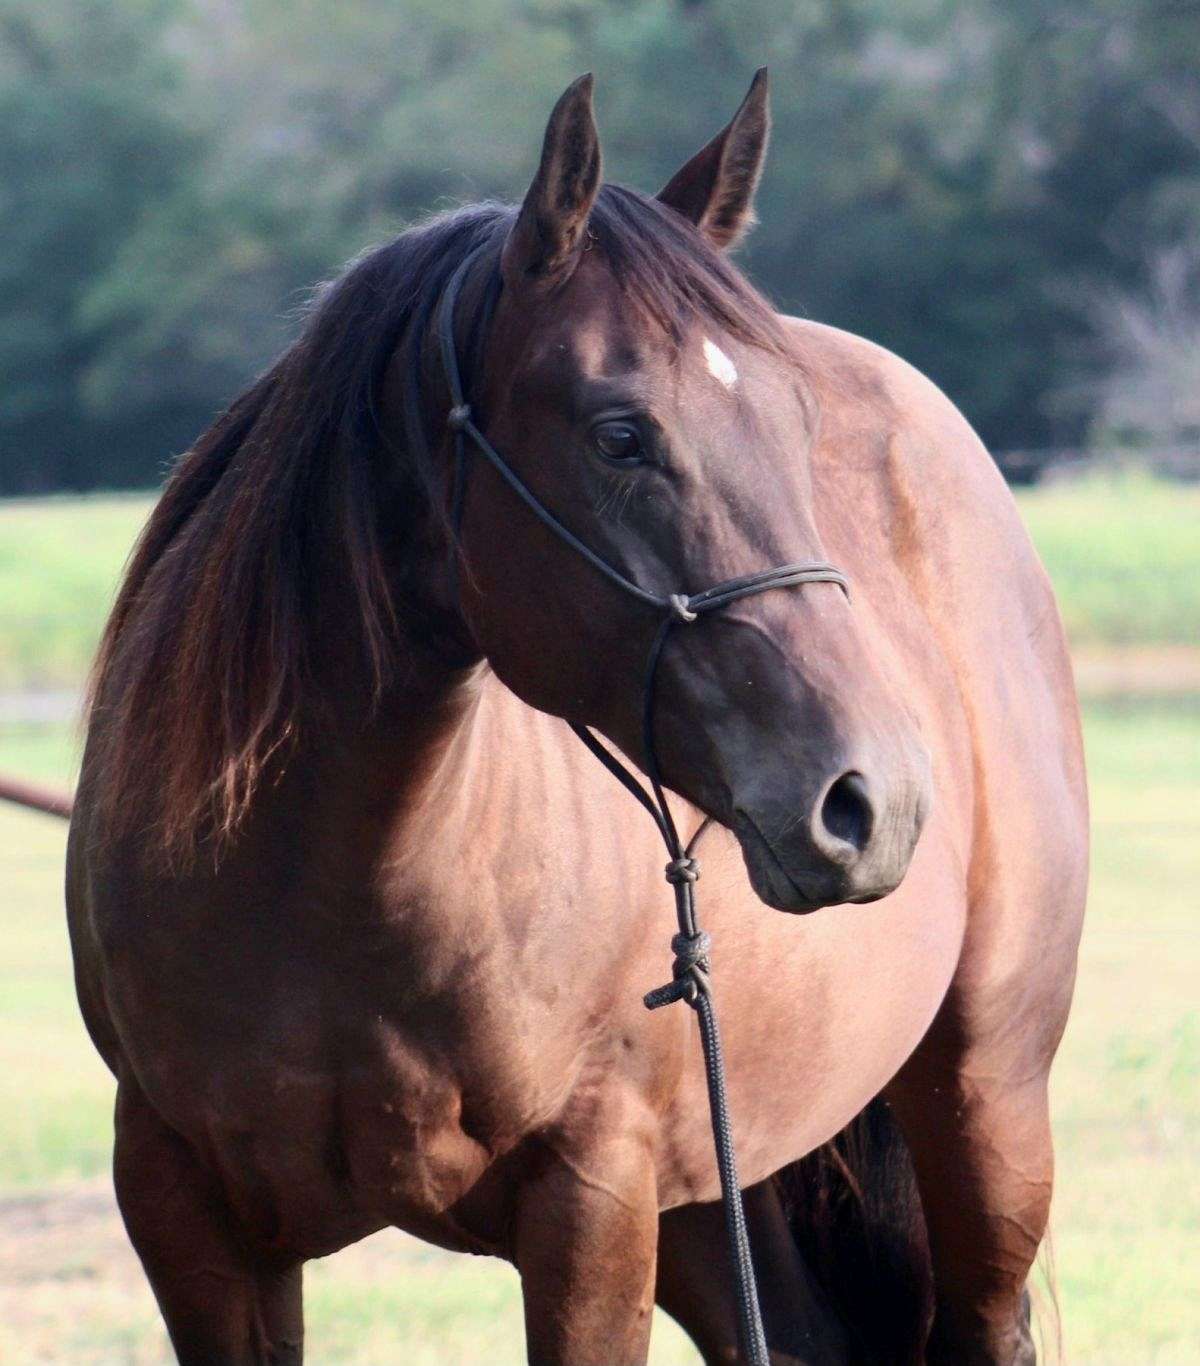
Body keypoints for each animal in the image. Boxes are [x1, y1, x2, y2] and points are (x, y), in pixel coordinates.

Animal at [67, 71, 1088, 1365]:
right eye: (620, 434)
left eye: (800, 425)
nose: (876, 801)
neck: (327, 884)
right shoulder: (186, 1210)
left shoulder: (592, 1200)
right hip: (715, 1198)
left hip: (986, 1104)